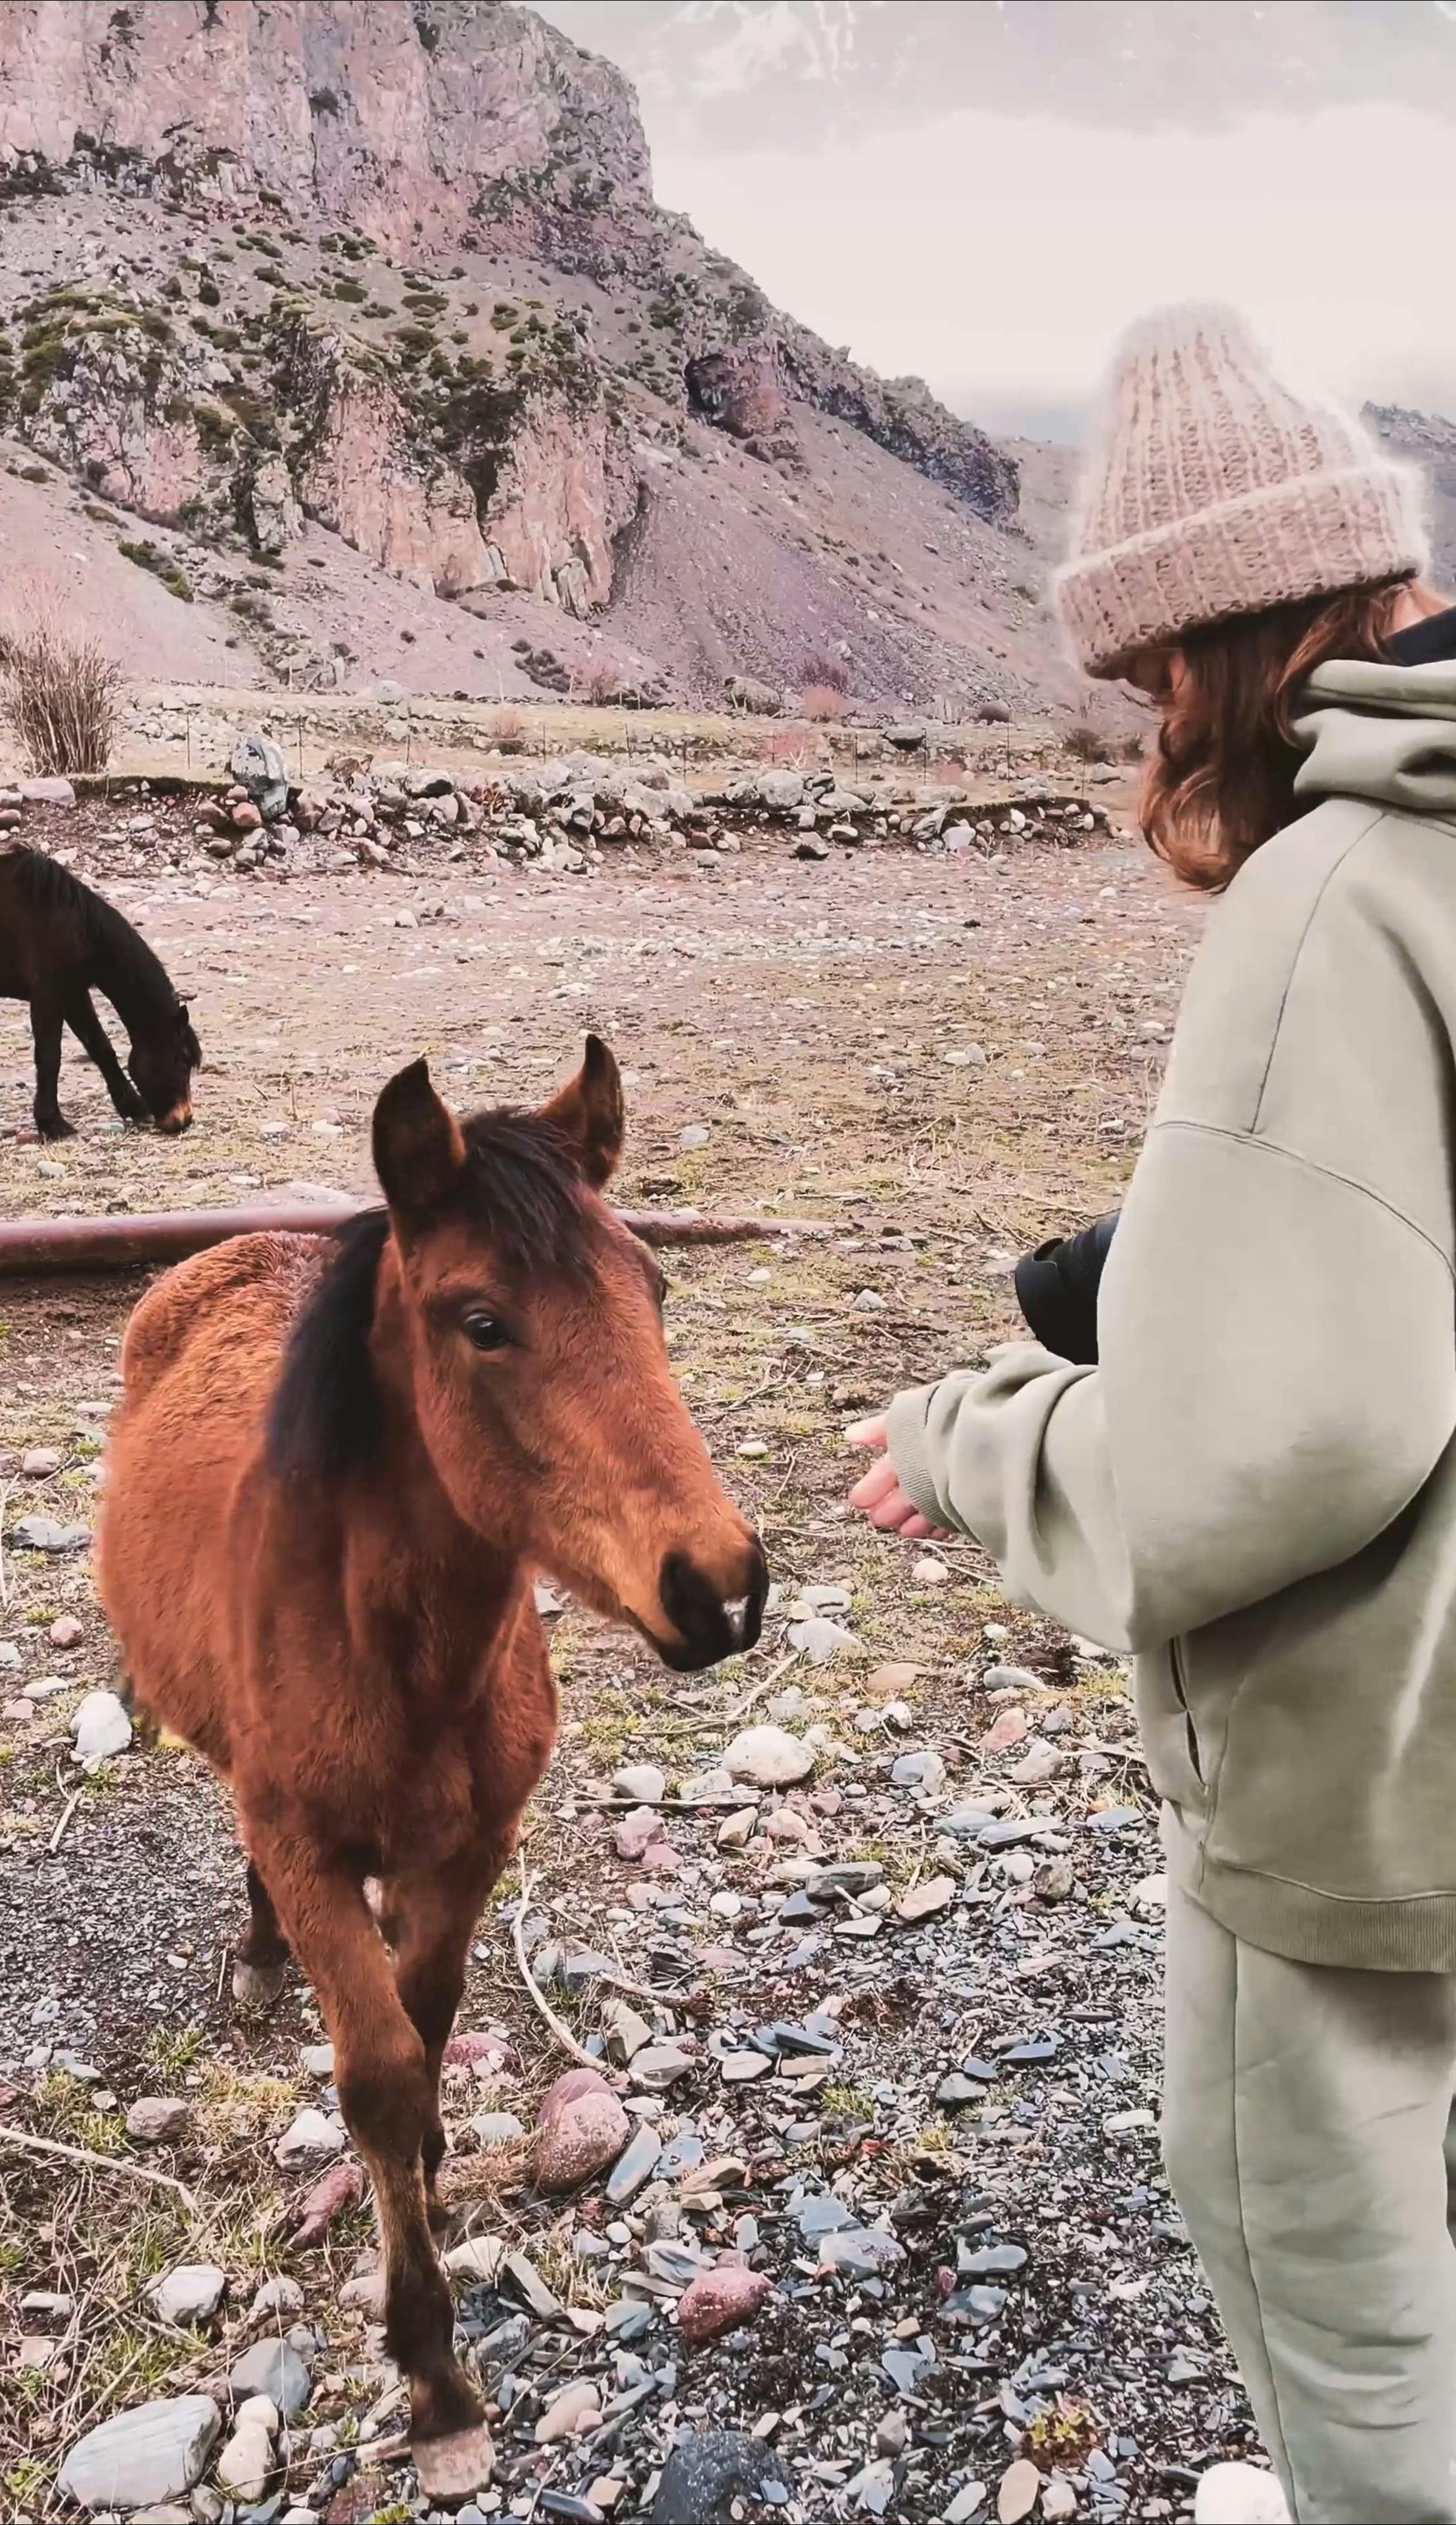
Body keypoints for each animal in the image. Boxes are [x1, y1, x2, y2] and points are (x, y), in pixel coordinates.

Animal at [0, 847, 200, 1139]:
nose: (183, 1119)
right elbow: (49, 1058)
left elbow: (100, 1047)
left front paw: (134, 1107)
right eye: (183, 1060)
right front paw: (53, 1123)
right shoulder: (48, 996)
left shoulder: (74, 994)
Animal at [96, 1036, 766, 2496]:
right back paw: (255, 1958)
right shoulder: (309, 1851)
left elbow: (434, 2014)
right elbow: (381, 2076)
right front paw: (433, 2373)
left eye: (654, 1288)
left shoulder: (472, 1845)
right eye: (482, 1322)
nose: (723, 1587)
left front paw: (442, 2173)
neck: (396, 1657)